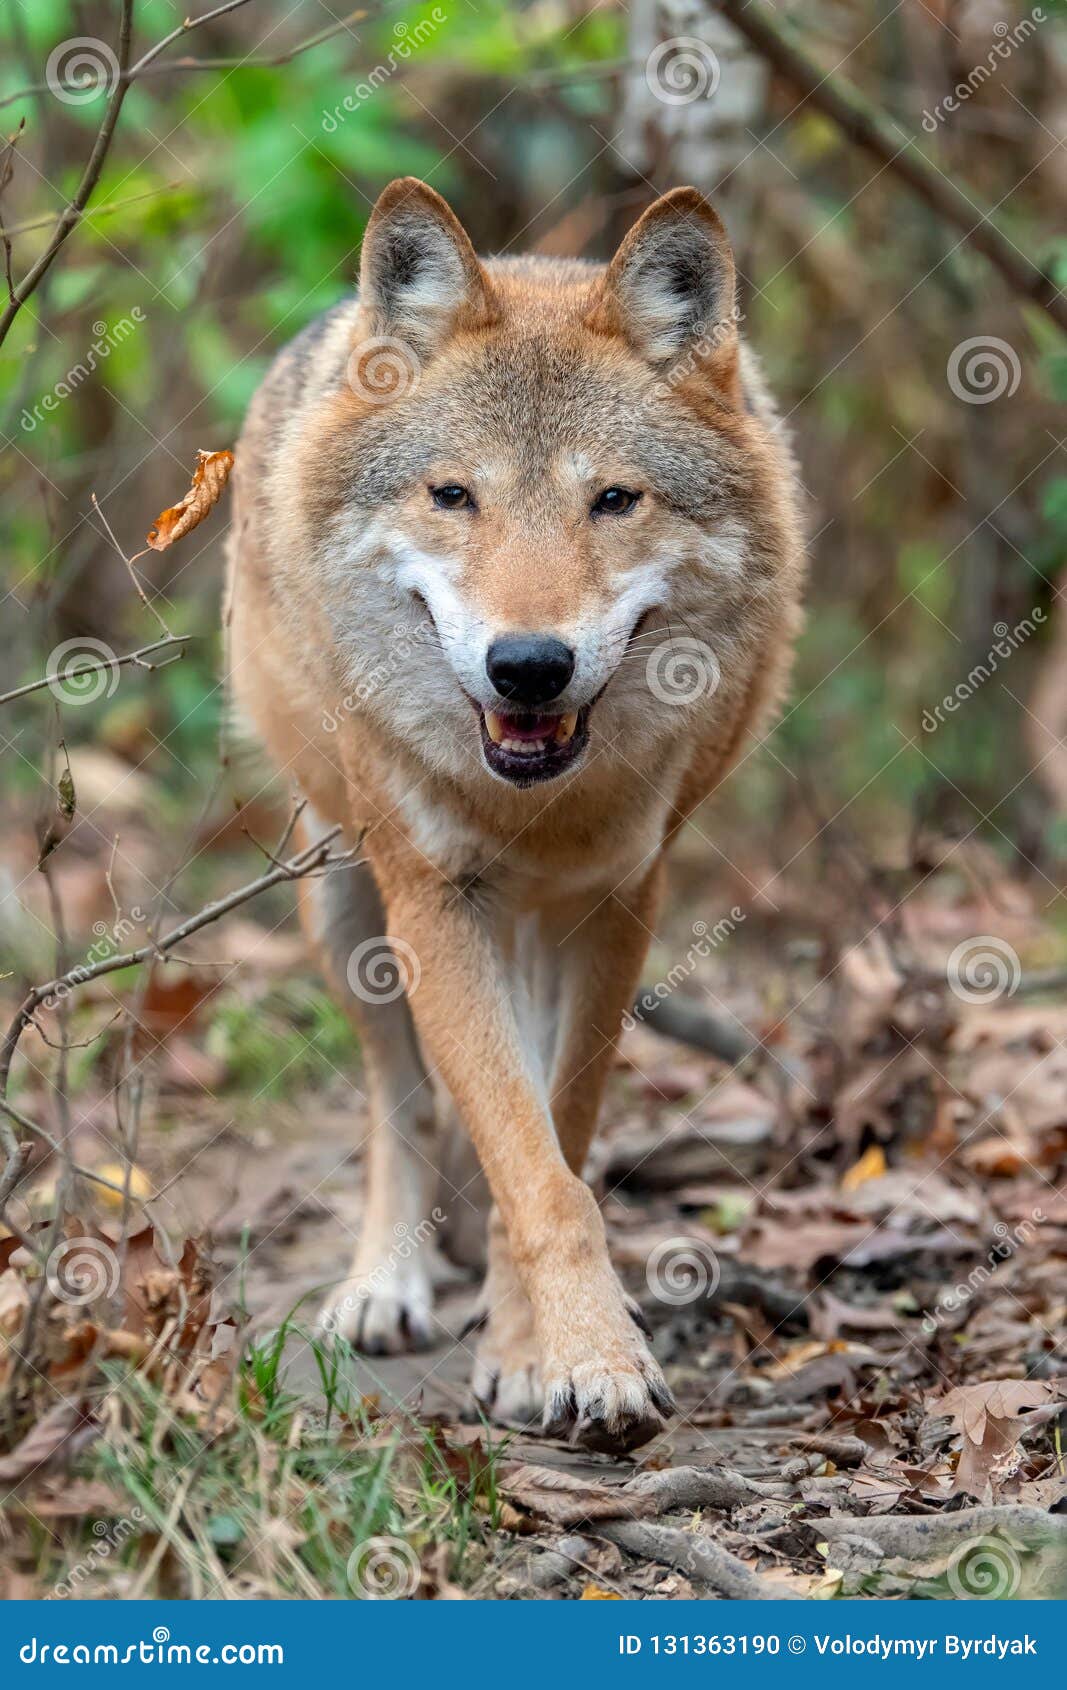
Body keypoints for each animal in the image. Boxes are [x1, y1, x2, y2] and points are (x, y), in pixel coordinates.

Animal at [225, 177, 805, 1452]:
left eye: (612, 501)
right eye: (454, 495)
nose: (527, 665)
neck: (540, 808)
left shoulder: (620, 908)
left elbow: (555, 1144)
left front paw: (535, 1358)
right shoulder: (436, 908)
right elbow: (527, 1165)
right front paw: (590, 1360)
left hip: (528, 931)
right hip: (342, 905)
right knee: (398, 1102)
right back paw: (383, 1286)